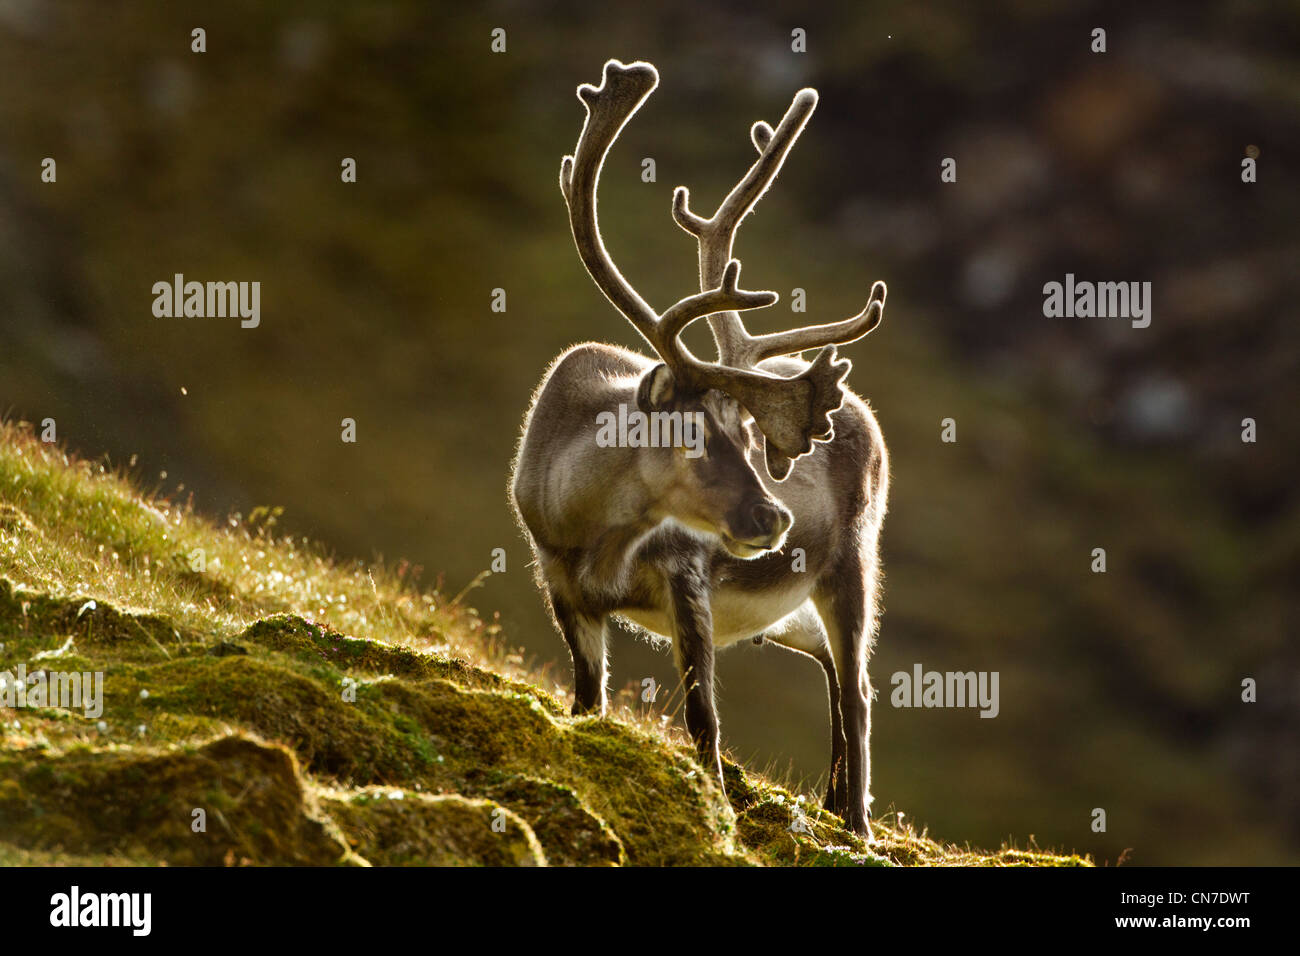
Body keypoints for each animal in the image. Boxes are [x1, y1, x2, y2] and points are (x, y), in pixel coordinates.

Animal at [510, 60, 889, 839]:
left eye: (749, 435)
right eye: (694, 433)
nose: (774, 517)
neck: (591, 527)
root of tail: (865, 414)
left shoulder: (687, 579)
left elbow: (704, 721)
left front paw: (719, 813)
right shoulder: (559, 585)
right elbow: (587, 701)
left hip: (853, 563)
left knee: (860, 688)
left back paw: (858, 826)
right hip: (789, 612)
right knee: (833, 676)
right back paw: (832, 804)